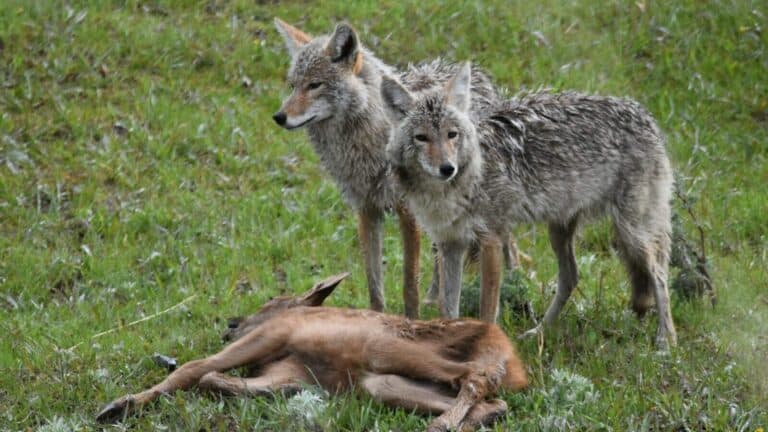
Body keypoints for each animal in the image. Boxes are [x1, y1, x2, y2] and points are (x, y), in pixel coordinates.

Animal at [96, 273, 528, 432]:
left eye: (271, 298)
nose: (230, 324)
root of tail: (514, 361)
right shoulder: (288, 367)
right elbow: (221, 380)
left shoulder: (274, 333)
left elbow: (194, 369)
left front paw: (119, 405)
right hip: (381, 382)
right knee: (494, 402)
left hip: (387, 346)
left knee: (474, 377)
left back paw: (441, 426)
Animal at [271, 19, 506, 318]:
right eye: (293, 86)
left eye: (315, 85)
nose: (279, 117)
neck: (366, 146)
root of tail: (478, 73)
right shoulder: (367, 210)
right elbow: (374, 284)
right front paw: (376, 319)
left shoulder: (409, 214)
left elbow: (409, 284)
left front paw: (412, 320)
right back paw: (435, 297)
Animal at [382, 63, 677, 349]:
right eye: (421, 138)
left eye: (451, 135)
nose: (447, 168)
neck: (451, 191)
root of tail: (645, 115)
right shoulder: (449, 245)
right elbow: (448, 306)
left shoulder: (491, 239)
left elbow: (487, 310)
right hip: (560, 233)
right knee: (571, 277)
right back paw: (539, 332)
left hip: (633, 234)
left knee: (661, 276)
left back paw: (666, 341)